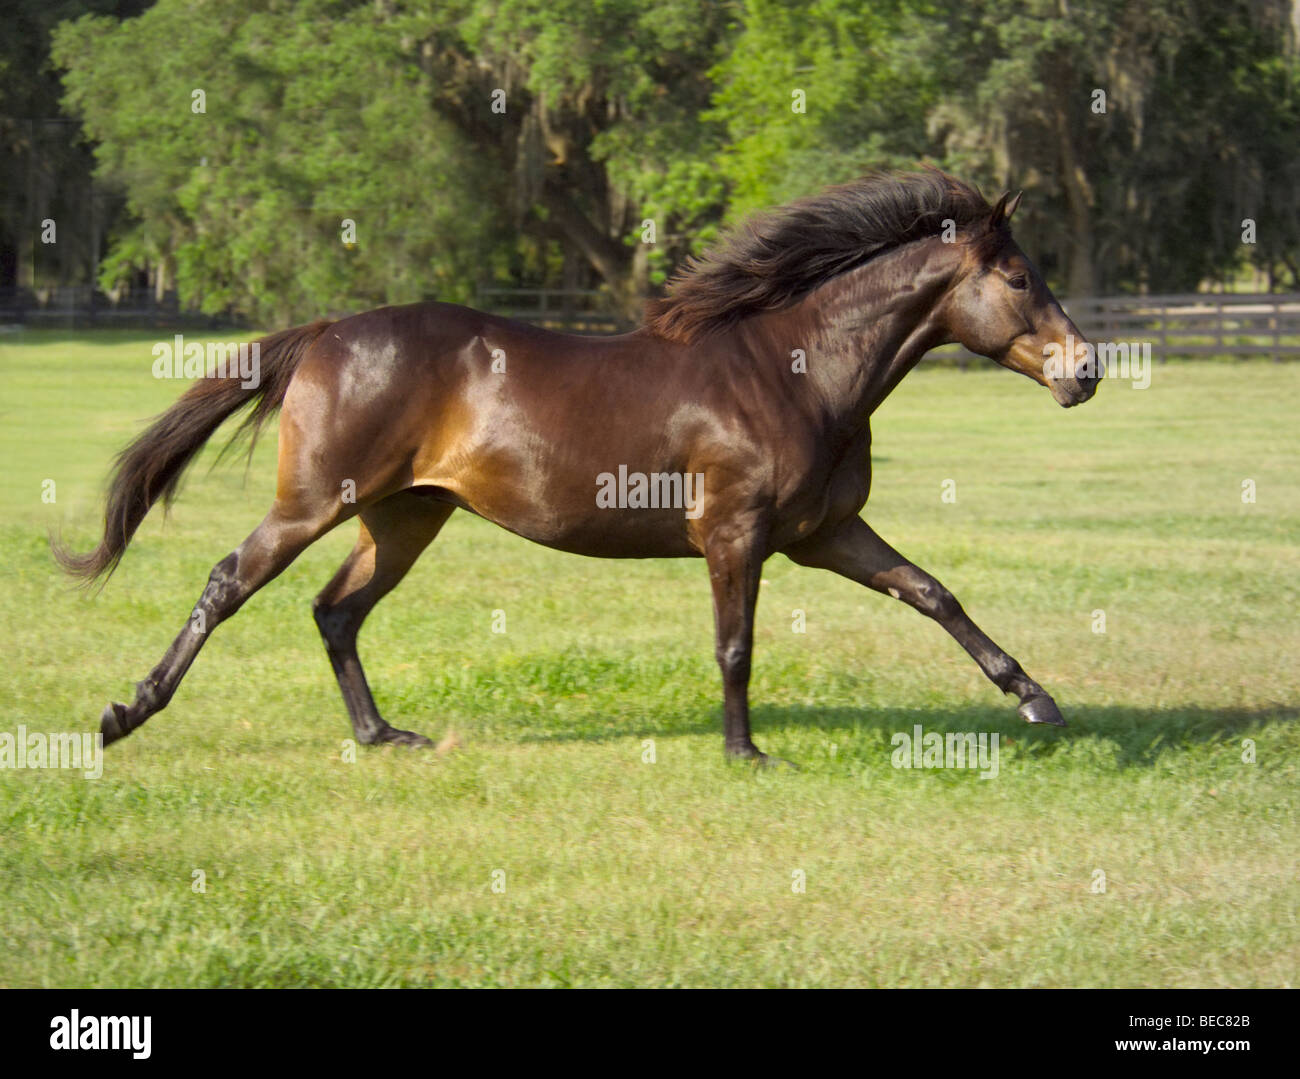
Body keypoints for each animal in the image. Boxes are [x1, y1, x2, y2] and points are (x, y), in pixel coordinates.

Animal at [54, 170, 1098, 765]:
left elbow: (933, 593)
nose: (1083, 370)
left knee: (336, 612)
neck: (795, 369)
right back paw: (124, 714)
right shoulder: (737, 534)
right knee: (229, 581)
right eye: (1018, 277)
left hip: (406, 516)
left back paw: (383, 736)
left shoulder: (826, 533)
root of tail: (324, 332)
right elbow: (736, 644)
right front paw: (745, 751)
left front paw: (1039, 701)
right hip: (315, 502)